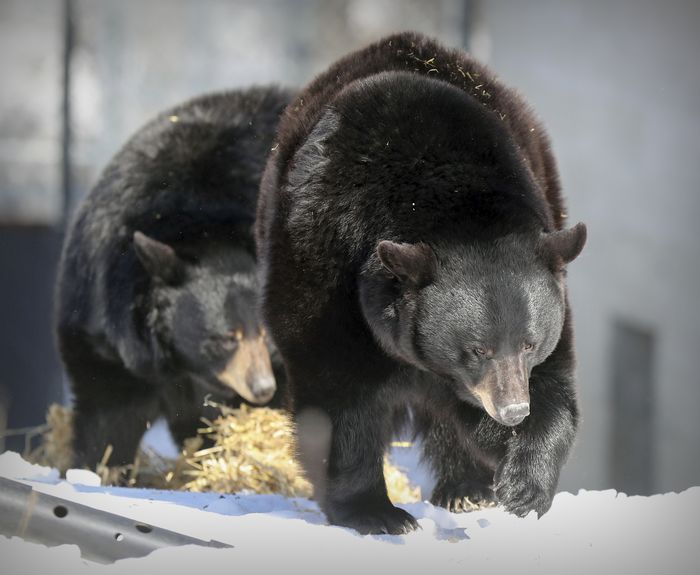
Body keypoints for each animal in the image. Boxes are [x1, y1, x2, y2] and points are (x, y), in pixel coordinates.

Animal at [56, 86, 293, 469]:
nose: (261, 388)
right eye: (225, 338)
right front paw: (96, 468)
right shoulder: (102, 329)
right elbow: (105, 417)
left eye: (263, 333)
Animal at [256, 32, 587, 534]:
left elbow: (553, 382)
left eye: (530, 343)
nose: (513, 411)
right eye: (477, 349)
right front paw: (376, 512)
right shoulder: (323, 268)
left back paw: (467, 488)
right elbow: (338, 391)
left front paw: (523, 485)